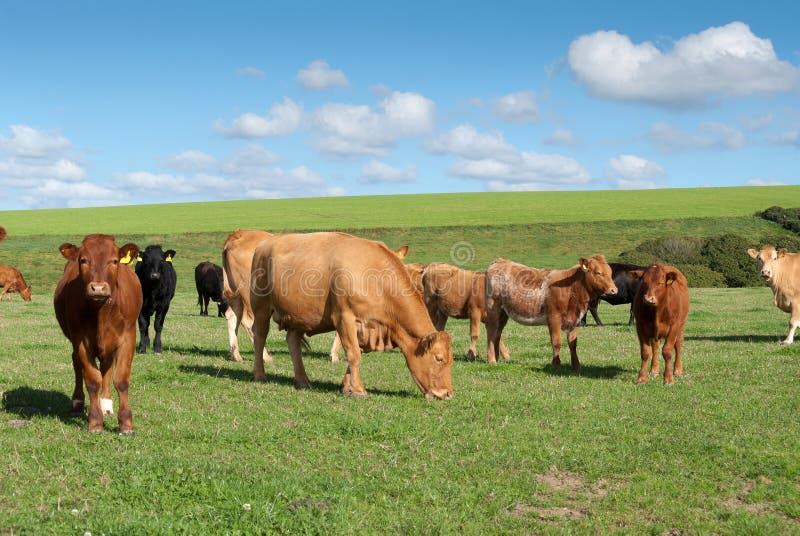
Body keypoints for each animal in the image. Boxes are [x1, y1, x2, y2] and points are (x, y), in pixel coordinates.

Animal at [53, 234, 142, 434]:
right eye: (83, 260)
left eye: (114, 261)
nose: (99, 288)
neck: (101, 312)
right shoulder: (80, 341)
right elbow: (93, 380)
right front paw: (95, 422)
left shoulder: (128, 338)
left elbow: (121, 380)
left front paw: (126, 424)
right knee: (77, 364)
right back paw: (78, 402)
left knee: (107, 368)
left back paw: (107, 405)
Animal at [221, 229, 274, 363]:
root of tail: (239, 234)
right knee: (251, 323)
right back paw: (265, 357)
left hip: (235, 294)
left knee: (233, 316)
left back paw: (236, 355)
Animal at [249, 232, 454, 399]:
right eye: (438, 358)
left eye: (451, 360)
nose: (447, 394)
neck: (377, 278)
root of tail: (265, 244)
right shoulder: (344, 317)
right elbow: (353, 353)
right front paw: (358, 390)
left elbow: (356, 353)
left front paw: (347, 386)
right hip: (261, 308)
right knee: (259, 337)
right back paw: (260, 375)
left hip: (299, 315)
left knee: (293, 342)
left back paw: (302, 380)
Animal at [485, 256, 617, 369]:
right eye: (598, 273)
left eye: (610, 273)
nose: (614, 290)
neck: (571, 289)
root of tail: (500, 261)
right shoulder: (554, 318)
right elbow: (556, 342)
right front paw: (556, 365)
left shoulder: (576, 320)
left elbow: (573, 343)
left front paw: (576, 366)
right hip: (493, 308)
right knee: (491, 331)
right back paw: (492, 359)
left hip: (503, 313)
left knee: (498, 333)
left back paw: (498, 357)